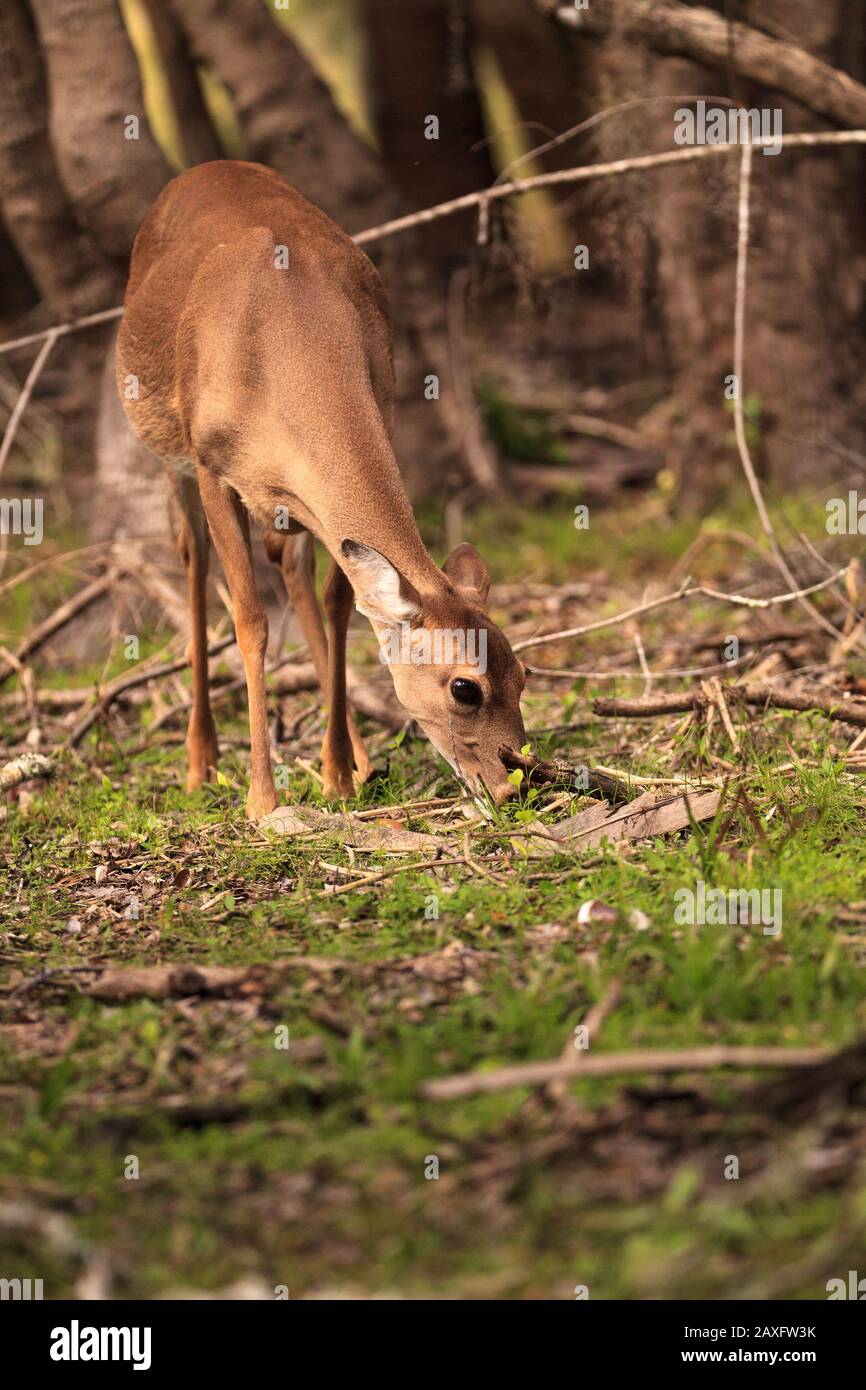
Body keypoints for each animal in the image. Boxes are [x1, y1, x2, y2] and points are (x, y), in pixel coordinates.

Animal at [117, 160, 527, 821]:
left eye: (523, 675)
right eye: (466, 687)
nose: (515, 782)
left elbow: (341, 604)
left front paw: (337, 774)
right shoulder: (210, 465)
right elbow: (251, 621)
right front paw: (262, 799)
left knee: (290, 566)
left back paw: (355, 757)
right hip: (170, 455)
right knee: (193, 560)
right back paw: (200, 762)